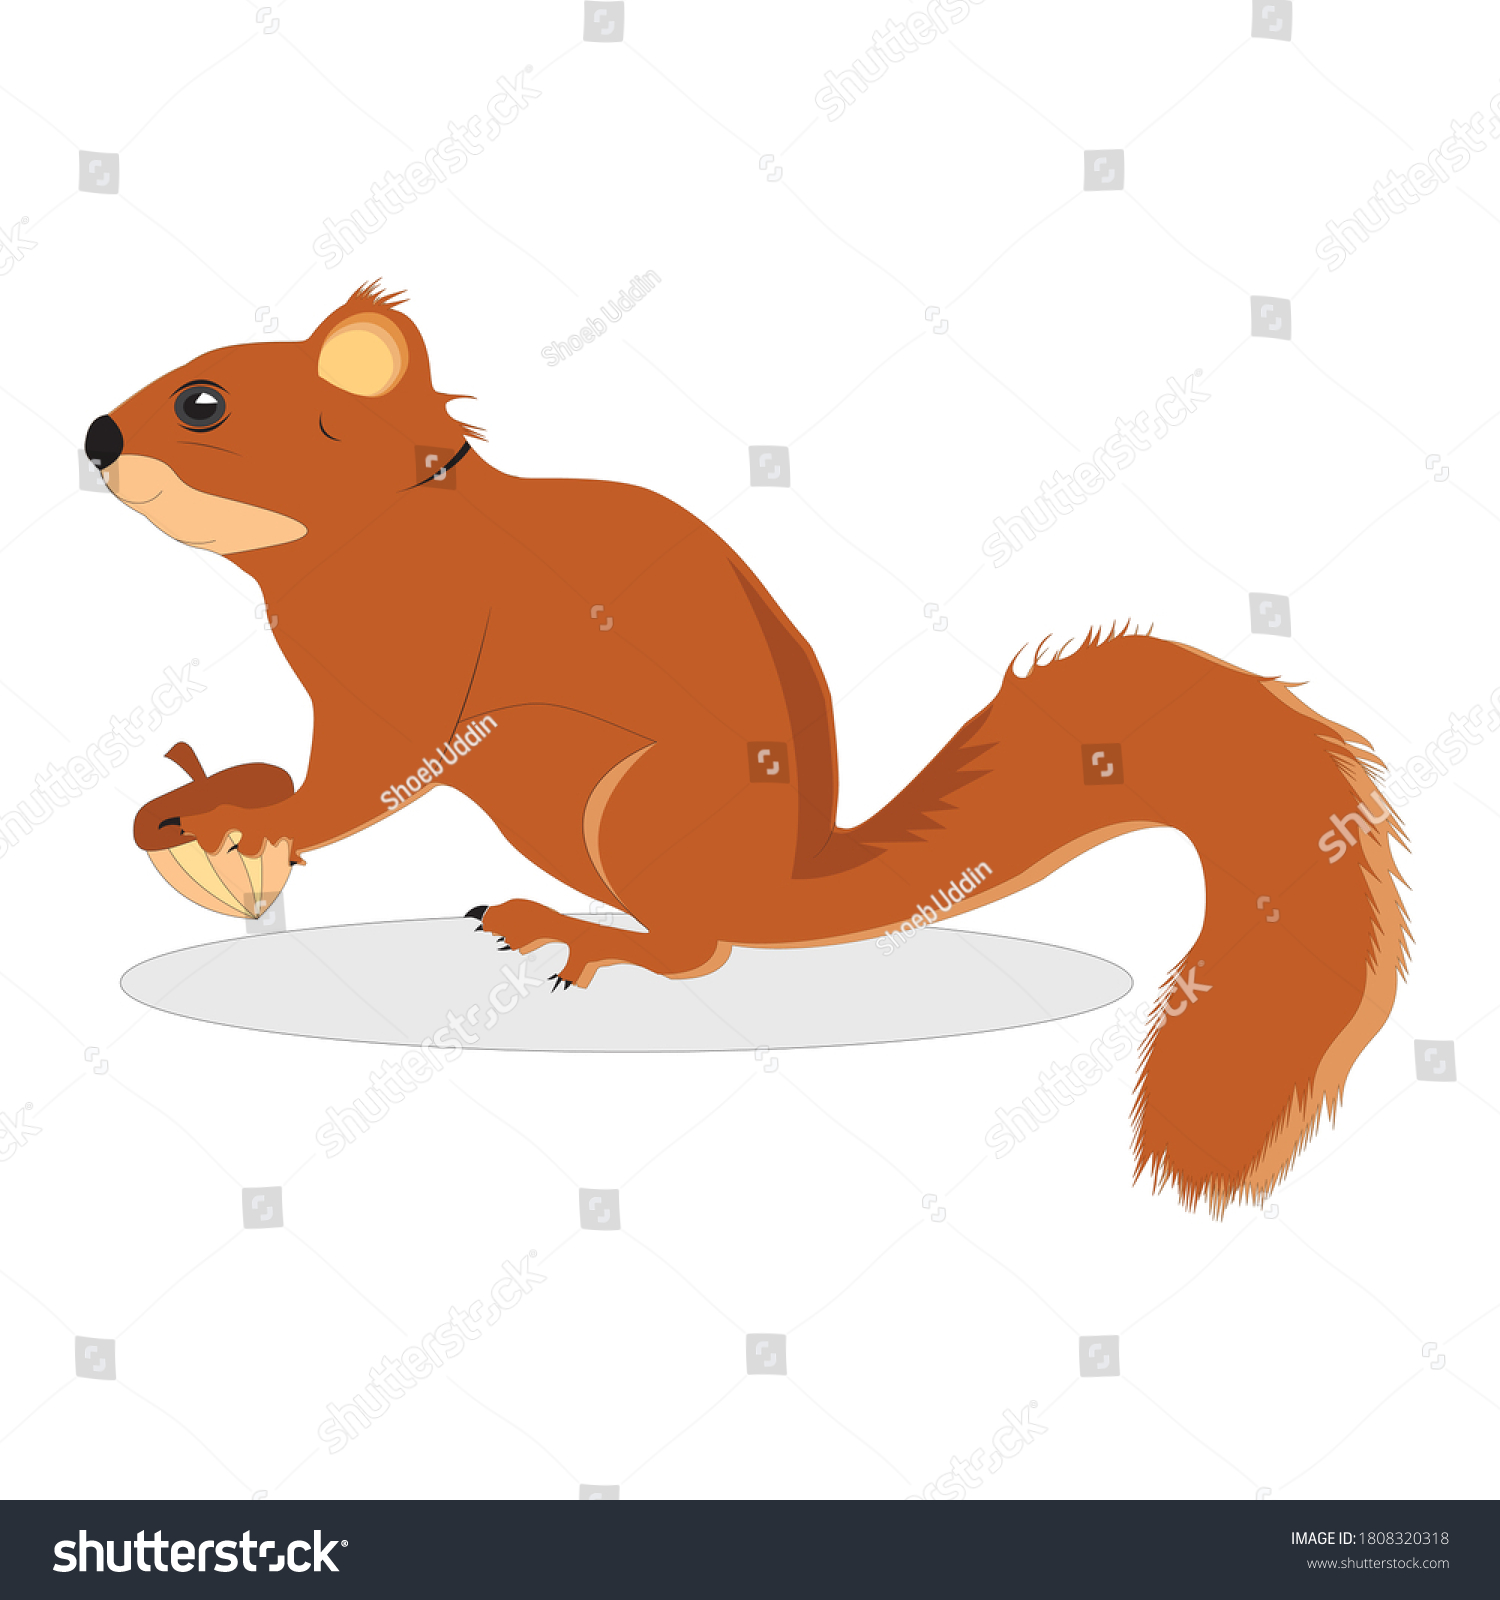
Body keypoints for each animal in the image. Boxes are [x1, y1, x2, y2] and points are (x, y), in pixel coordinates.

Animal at [88, 283, 1408, 1214]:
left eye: (205, 401)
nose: (96, 435)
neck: (374, 527)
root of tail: (778, 875)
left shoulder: (425, 661)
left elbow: (364, 777)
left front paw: (255, 819)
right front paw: (206, 807)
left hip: (630, 802)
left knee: (699, 949)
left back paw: (582, 936)